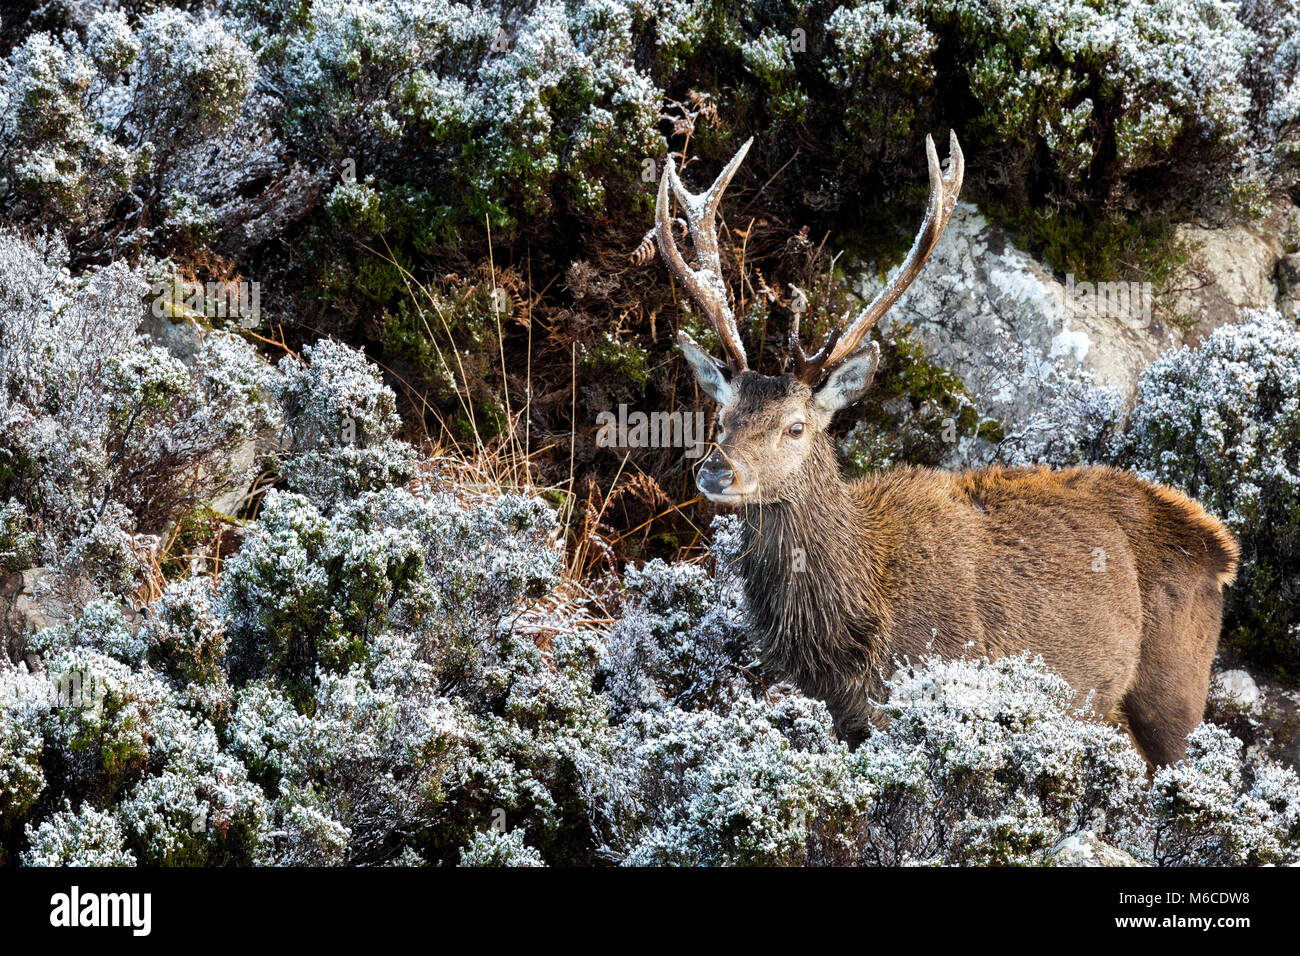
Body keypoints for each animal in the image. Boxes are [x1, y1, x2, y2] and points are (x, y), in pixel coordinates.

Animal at [653, 132, 1239, 765]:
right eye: (722, 416)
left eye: (796, 427)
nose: (717, 472)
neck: (851, 639)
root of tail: (1220, 551)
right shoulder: (845, 717)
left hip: (1175, 690)